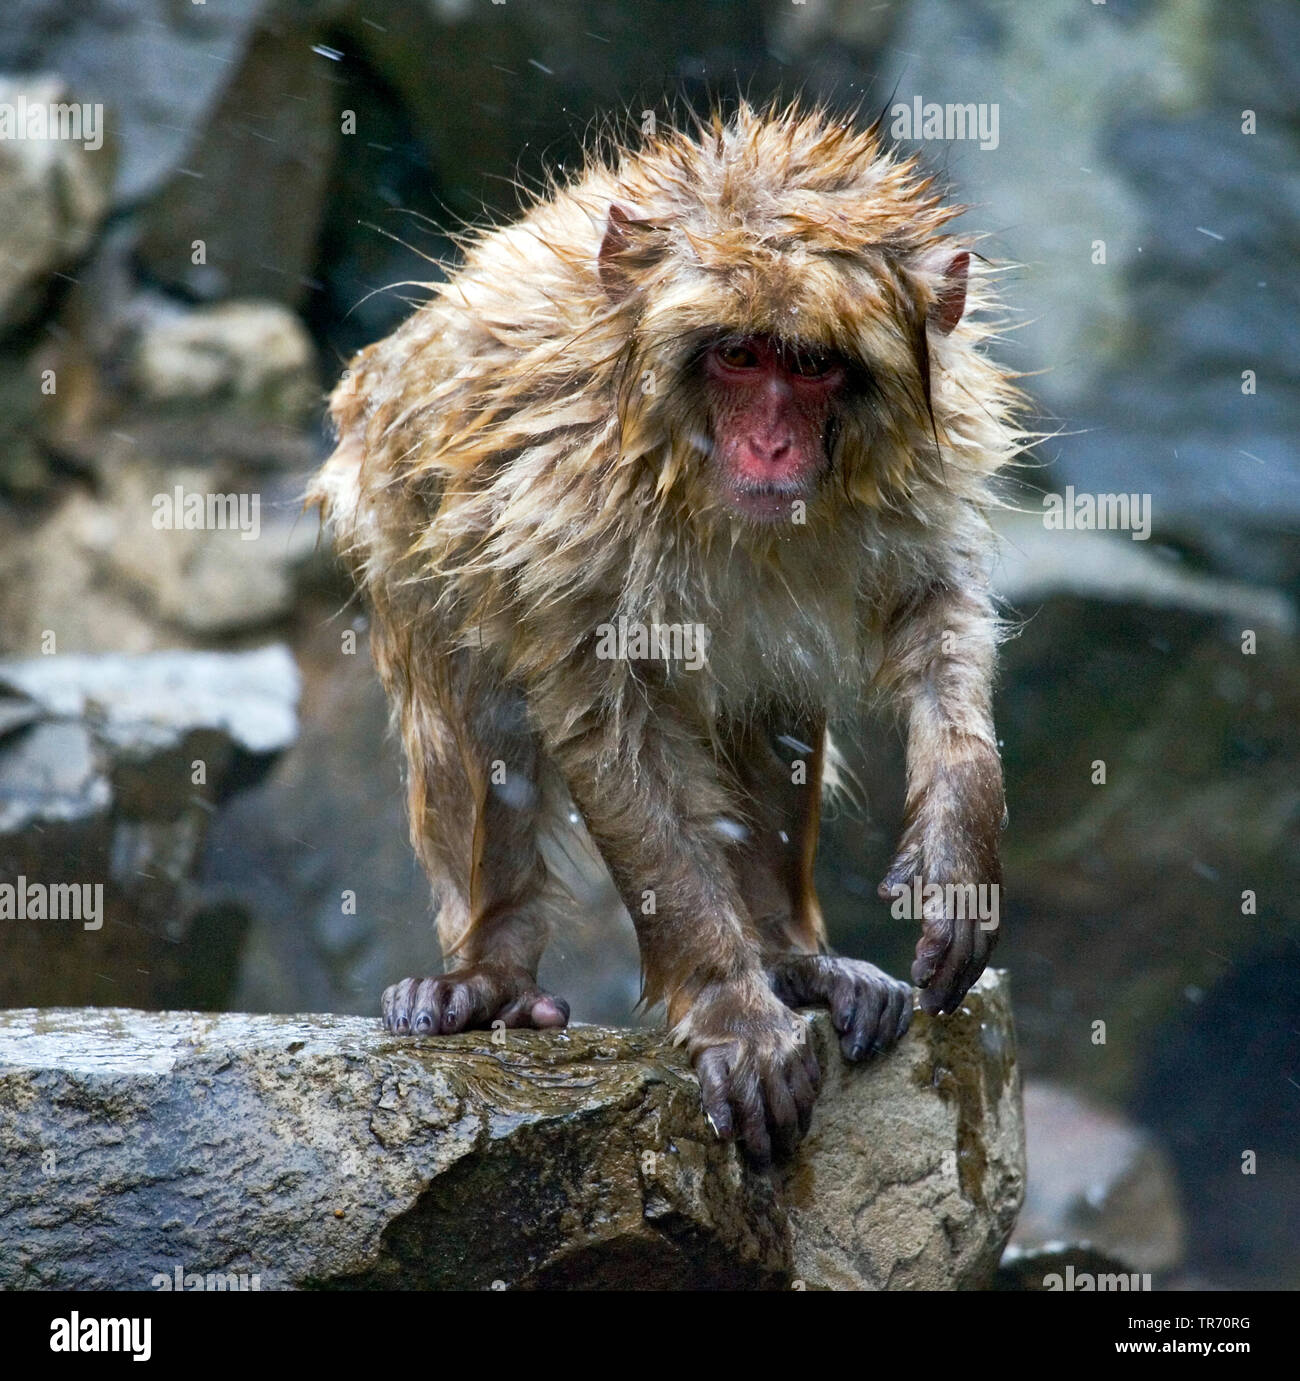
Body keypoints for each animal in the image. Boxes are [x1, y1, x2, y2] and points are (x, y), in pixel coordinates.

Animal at [309, 103, 1023, 1167]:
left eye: (811, 364)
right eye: (738, 355)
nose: (768, 446)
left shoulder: (923, 468)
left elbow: (936, 610)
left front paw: (958, 847)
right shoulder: (561, 489)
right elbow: (603, 720)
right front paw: (735, 1013)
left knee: (770, 694)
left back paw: (790, 954)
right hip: (393, 530)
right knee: (475, 706)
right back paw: (488, 971)